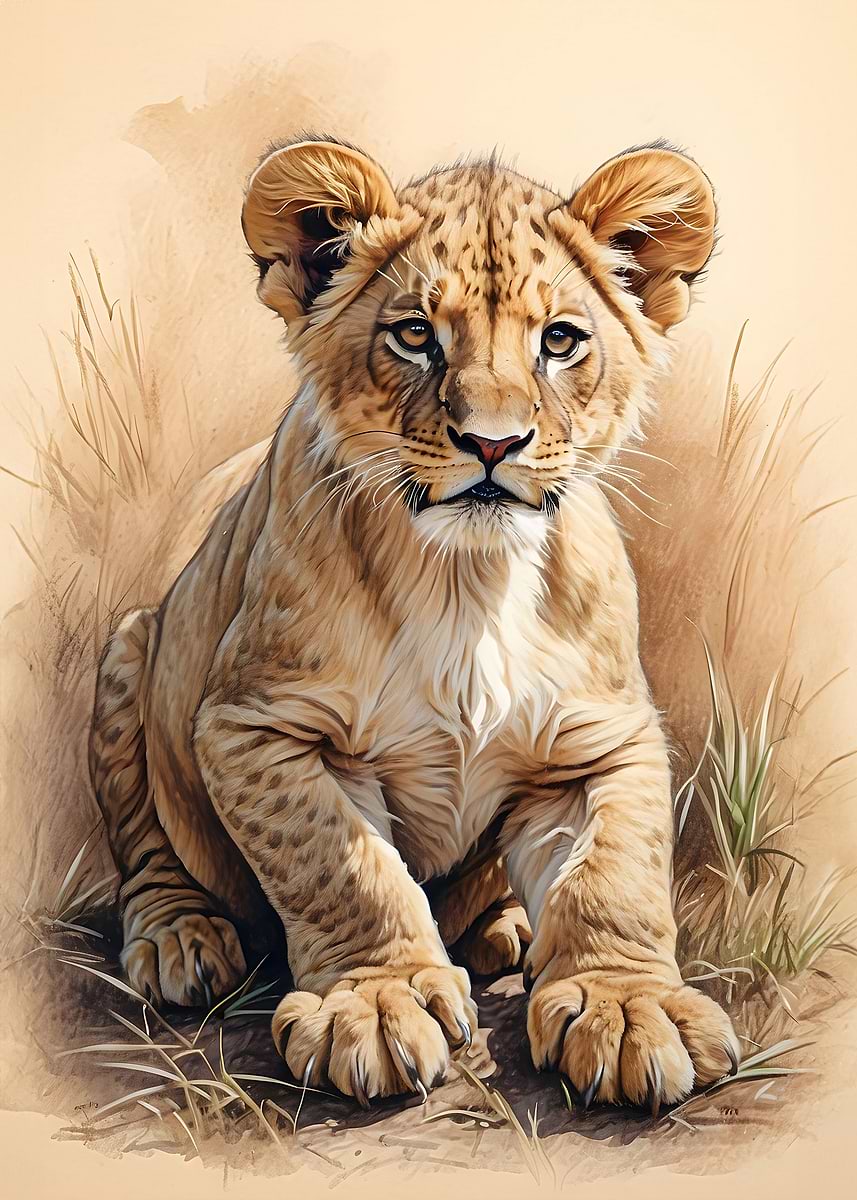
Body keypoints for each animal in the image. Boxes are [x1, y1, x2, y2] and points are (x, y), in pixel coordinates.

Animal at [89, 135, 740, 1108]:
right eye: (414, 335)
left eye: (558, 341)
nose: (494, 443)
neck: (467, 582)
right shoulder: (254, 728)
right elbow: (342, 865)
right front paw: (377, 1003)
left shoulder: (600, 740)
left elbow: (613, 873)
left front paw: (627, 1007)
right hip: (130, 653)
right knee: (149, 851)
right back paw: (181, 939)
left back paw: (506, 927)